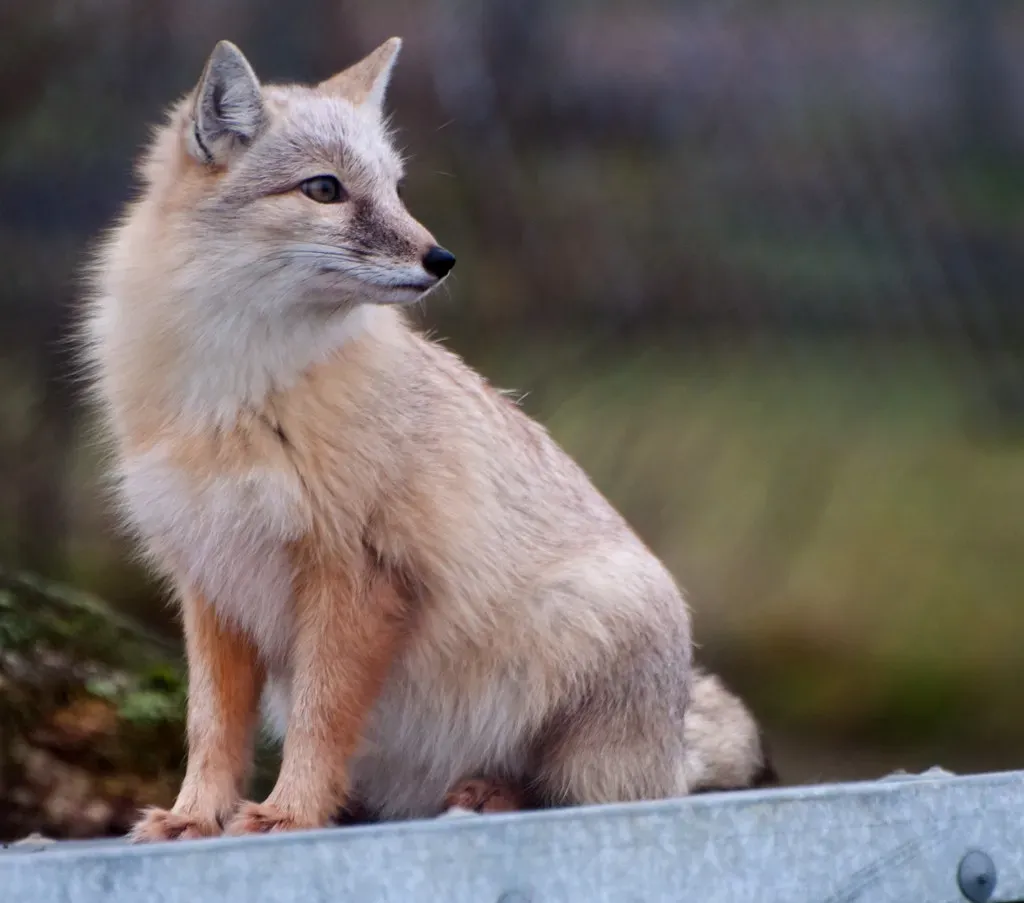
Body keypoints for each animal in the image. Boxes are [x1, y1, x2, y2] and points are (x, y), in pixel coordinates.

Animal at [81, 36, 774, 842]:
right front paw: (195, 815)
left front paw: (289, 813)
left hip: (575, 630)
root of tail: (672, 743)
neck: (231, 395)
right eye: (325, 190)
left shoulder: (359, 575)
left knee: (586, 794)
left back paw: (488, 792)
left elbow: (322, 715)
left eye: (395, 190)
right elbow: (211, 725)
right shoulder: (211, 582)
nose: (440, 259)